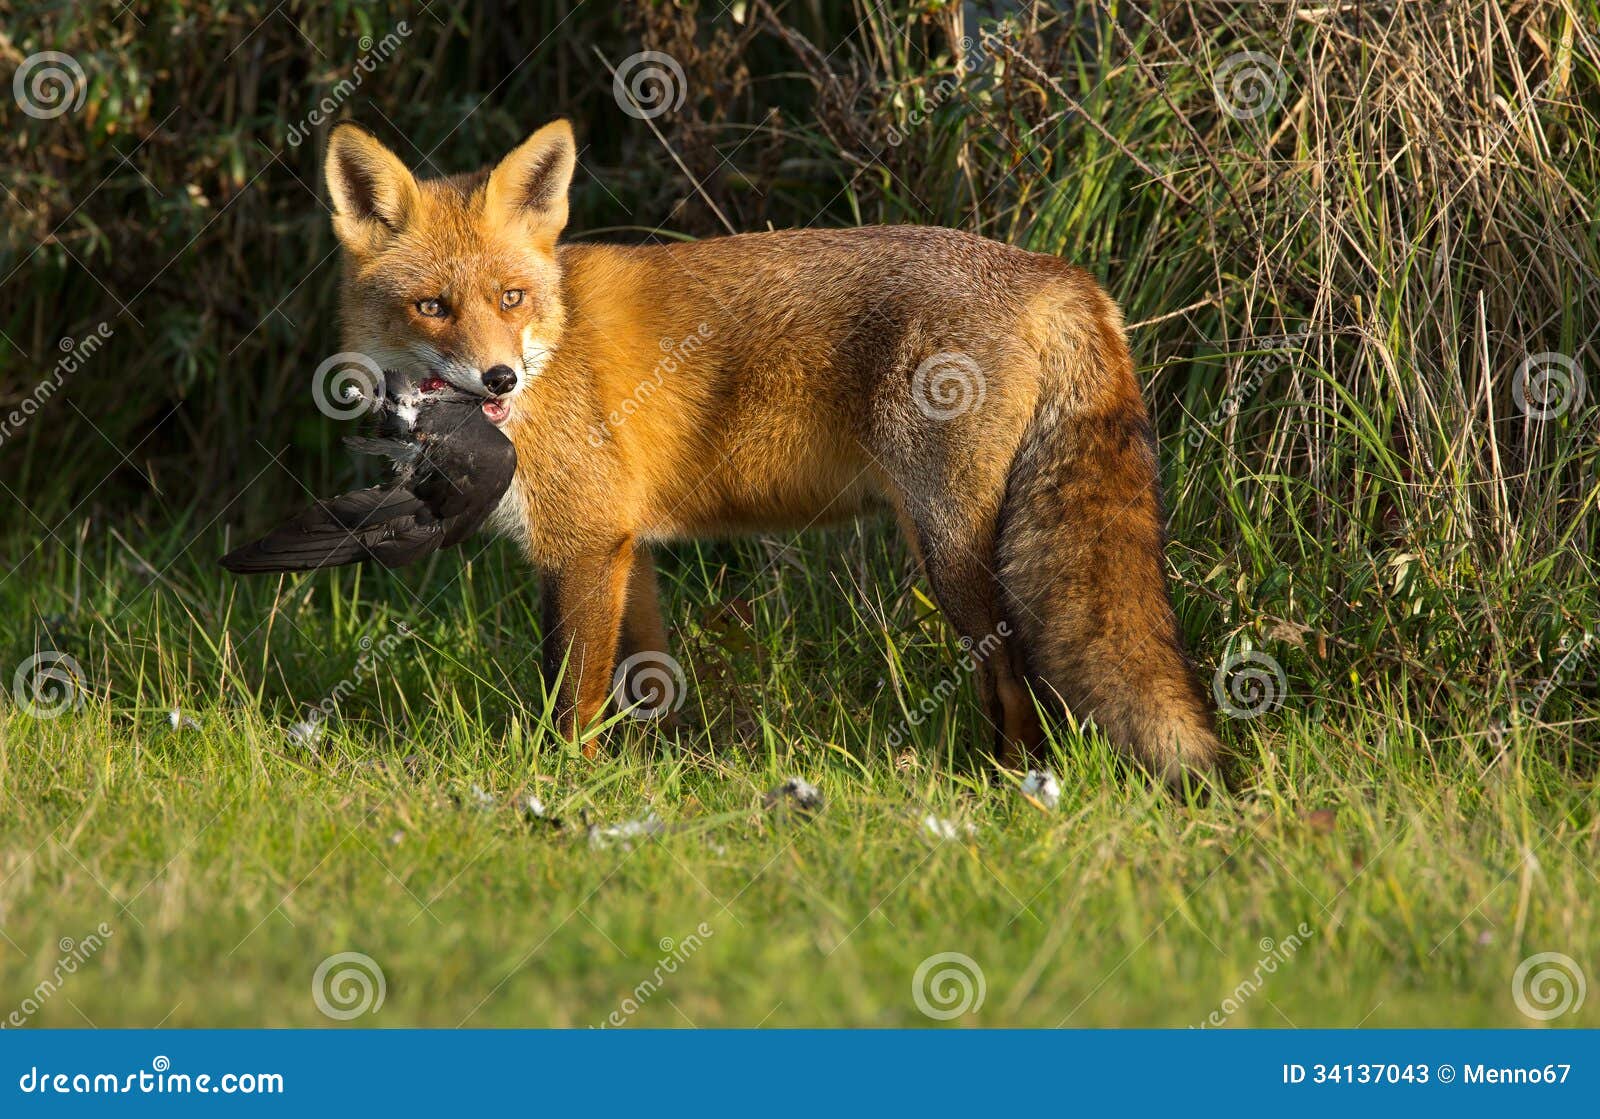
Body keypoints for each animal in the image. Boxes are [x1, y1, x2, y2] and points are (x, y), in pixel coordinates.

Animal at [322, 118, 1223, 787]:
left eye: (511, 298)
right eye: (433, 307)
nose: (499, 376)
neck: (554, 344)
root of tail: (1053, 270)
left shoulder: (581, 542)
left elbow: (571, 694)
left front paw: (562, 781)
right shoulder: (624, 544)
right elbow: (646, 678)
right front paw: (648, 772)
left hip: (951, 547)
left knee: (1013, 676)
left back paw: (1007, 788)